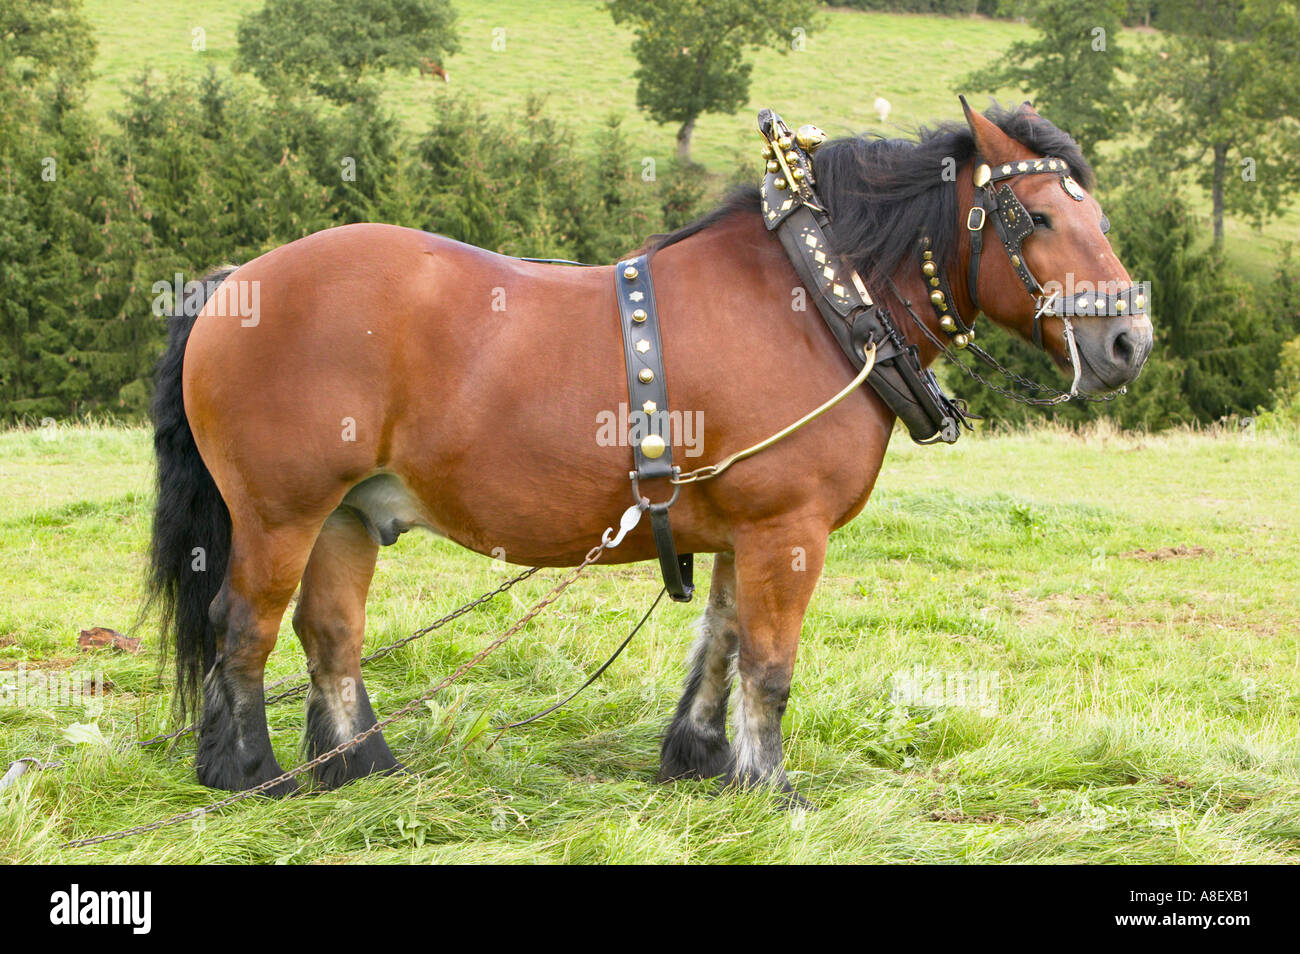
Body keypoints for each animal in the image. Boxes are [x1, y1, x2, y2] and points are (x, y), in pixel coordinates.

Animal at [147, 99, 1152, 804]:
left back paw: (364, 766)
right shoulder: (789, 529)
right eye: (1034, 218)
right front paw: (773, 787)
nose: (1128, 342)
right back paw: (248, 772)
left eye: (1094, 214)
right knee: (243, 626)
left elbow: (721, 641)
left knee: (330, 634)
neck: (822, 302)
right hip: (280, 510)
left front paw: (700, 759)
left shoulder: (745, 529)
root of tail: (232, 284)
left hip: (348, 512)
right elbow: (770, 665)